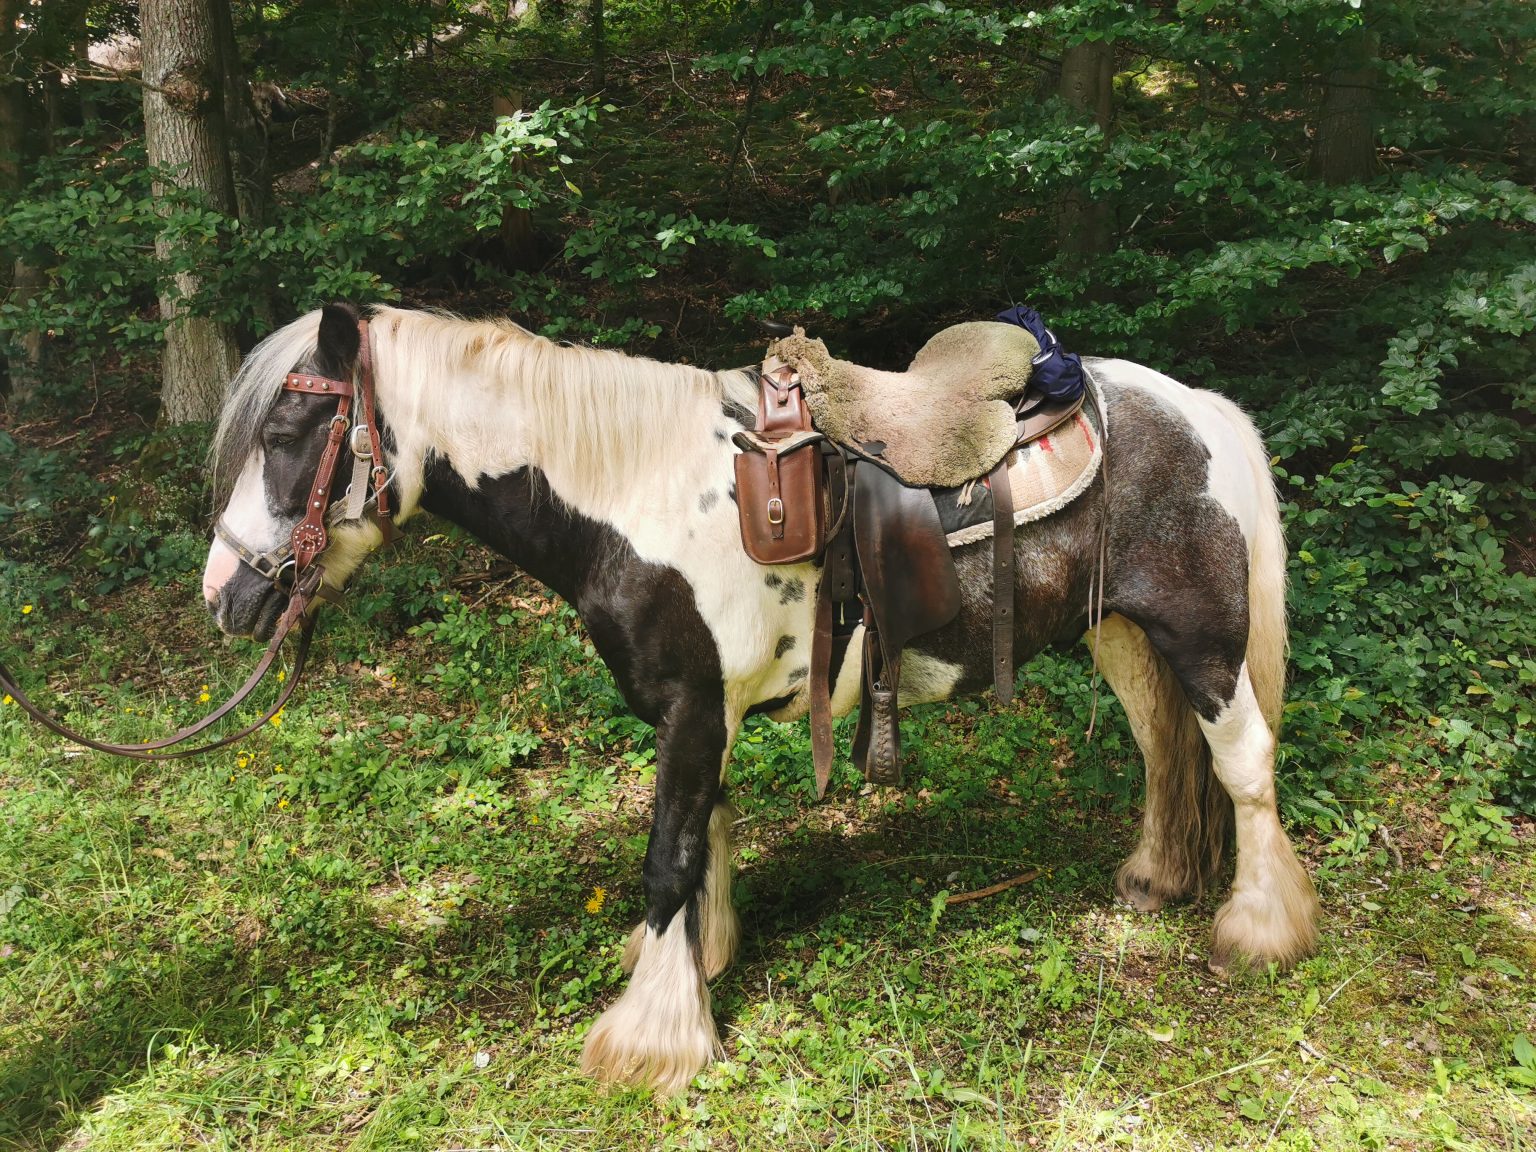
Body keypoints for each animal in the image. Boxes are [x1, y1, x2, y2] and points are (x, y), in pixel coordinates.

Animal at [202, 302, 1320, 1094]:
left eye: (294, 428)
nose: (225, 595)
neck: (638, 490)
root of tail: (1202, 408)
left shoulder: (695, 708)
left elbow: (667, 858)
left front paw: (650, 1043)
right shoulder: (699, 713)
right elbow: (707, 842)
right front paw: (699, 969)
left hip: (1202, 639)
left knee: (1244, 764)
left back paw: (1261, 930)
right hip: (1121, 633)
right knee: (1164, 748)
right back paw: (1155, 880)